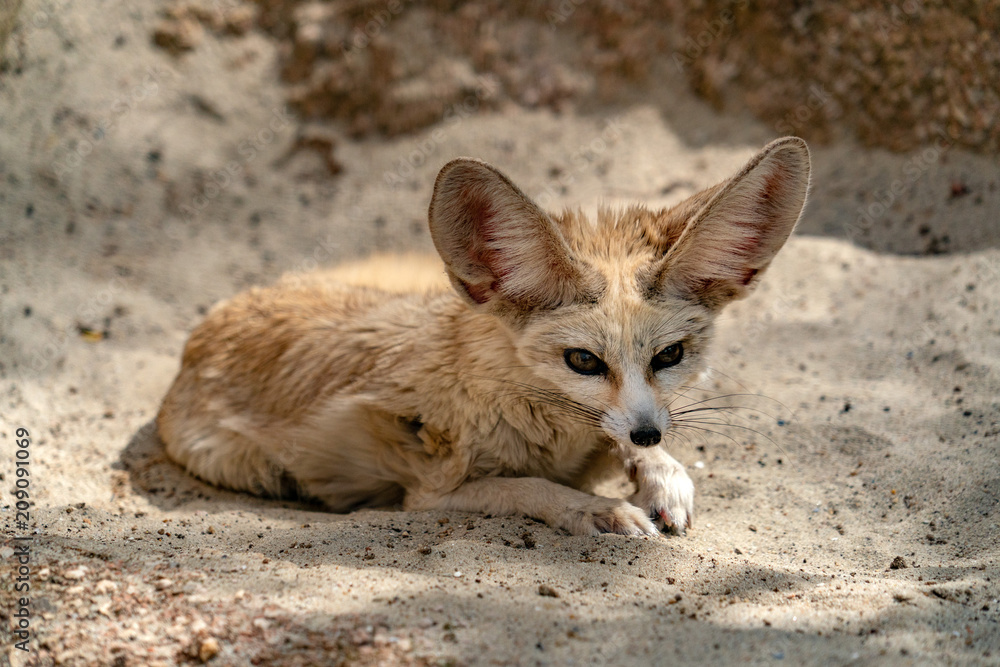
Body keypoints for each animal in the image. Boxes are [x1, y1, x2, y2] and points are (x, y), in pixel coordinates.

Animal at [157, 137, 810, 536]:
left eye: (670, 355)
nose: (649, 431)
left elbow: (626, 441)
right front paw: (600, 508)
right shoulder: (428, 494)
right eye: (583, 361)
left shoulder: (621, 422)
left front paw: (663, 474)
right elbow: (529, 487)